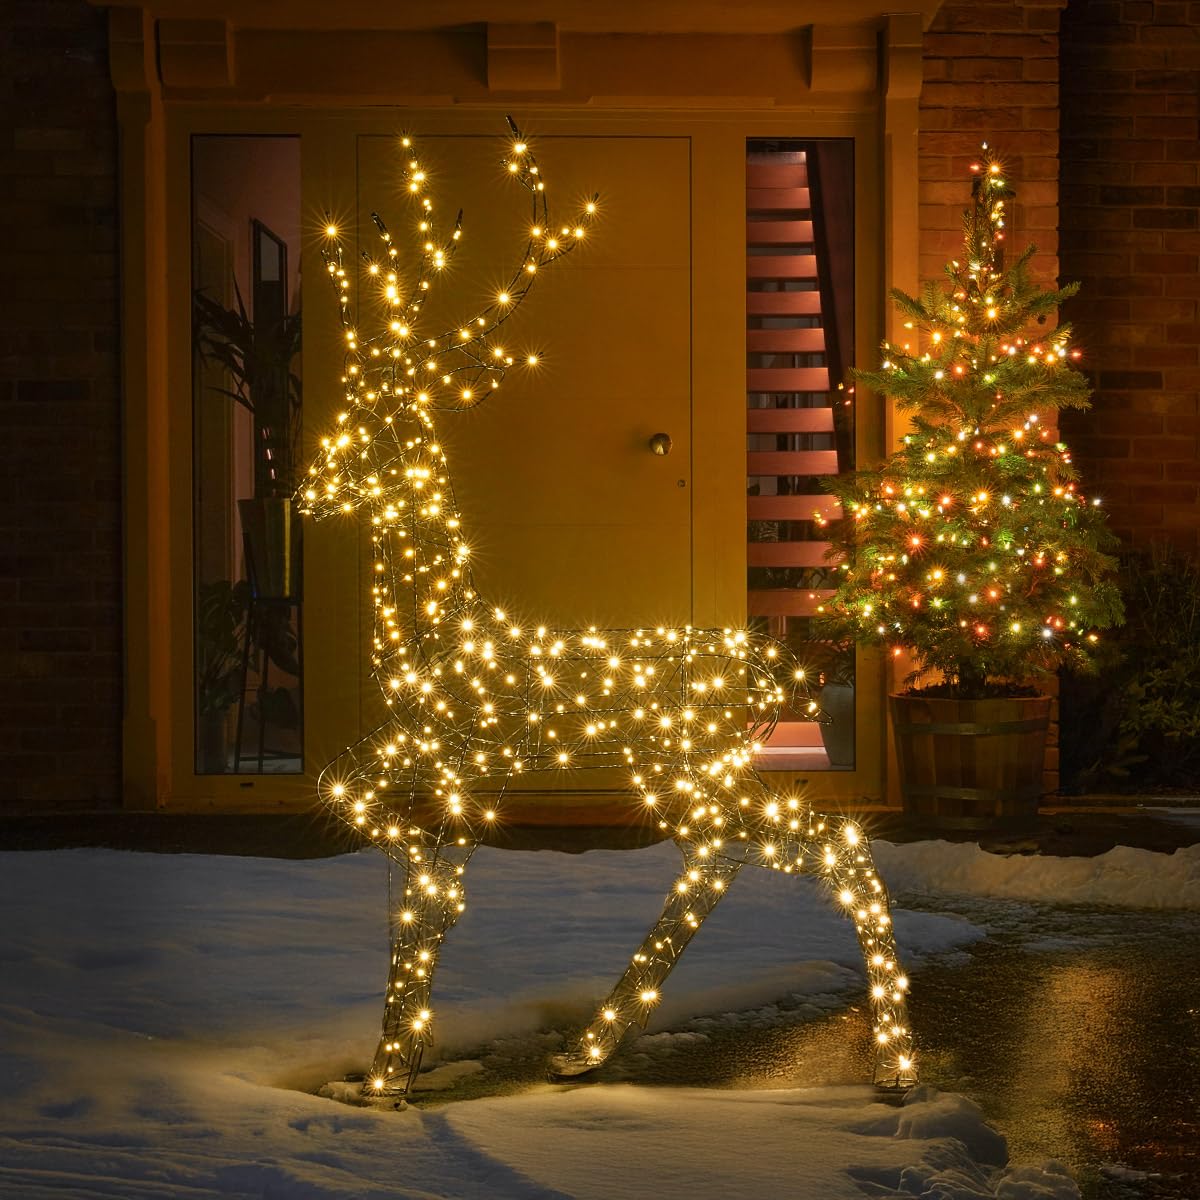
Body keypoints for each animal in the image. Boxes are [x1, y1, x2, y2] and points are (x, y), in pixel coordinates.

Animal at [297, 120, 916, 1104]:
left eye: (370, 427)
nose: (307, 491)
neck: (435, 634)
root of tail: (785, 666)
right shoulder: (440, 766)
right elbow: (389, 857)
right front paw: (395, 1064)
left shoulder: (459, 763)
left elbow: (419, 884)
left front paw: (389, 1077)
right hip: (691, 777)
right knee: (722, 860)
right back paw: (584, 1047)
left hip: (697, 767)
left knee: (836, 848)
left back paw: (897, 1066)